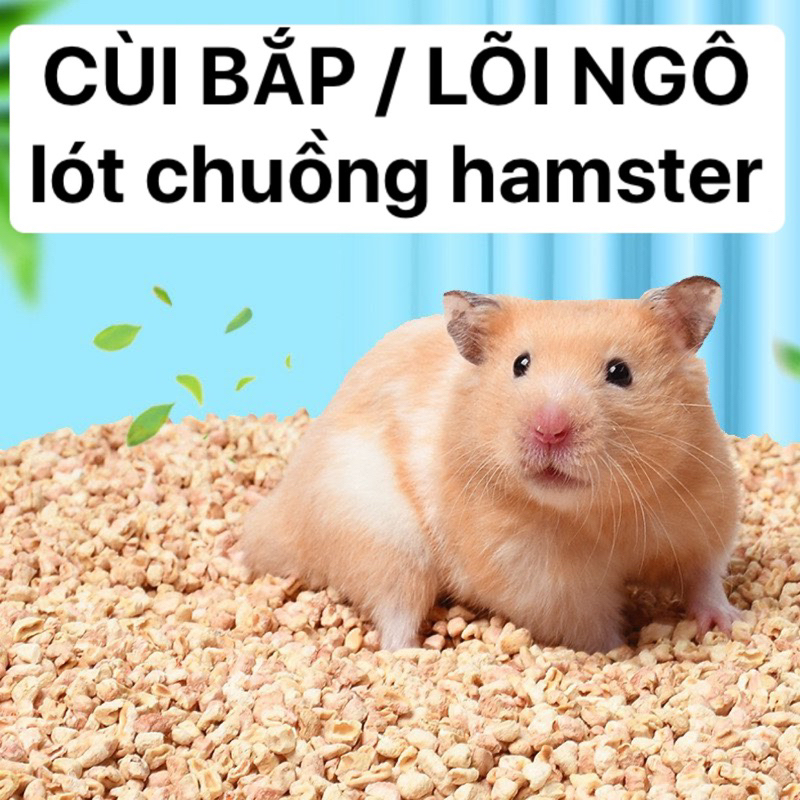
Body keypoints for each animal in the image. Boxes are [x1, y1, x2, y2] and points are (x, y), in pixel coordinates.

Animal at [238, 276, 740, 653]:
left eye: (620, 372)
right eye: (520, 364)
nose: (549, 430)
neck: (601, 510)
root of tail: (274, 516)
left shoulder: (704, 515)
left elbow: (704, 577)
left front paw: (728, 623)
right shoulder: (544, 582)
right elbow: (591, 626)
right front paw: (621, 650)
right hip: (382, 539)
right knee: (395, 612)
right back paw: (415, 655)